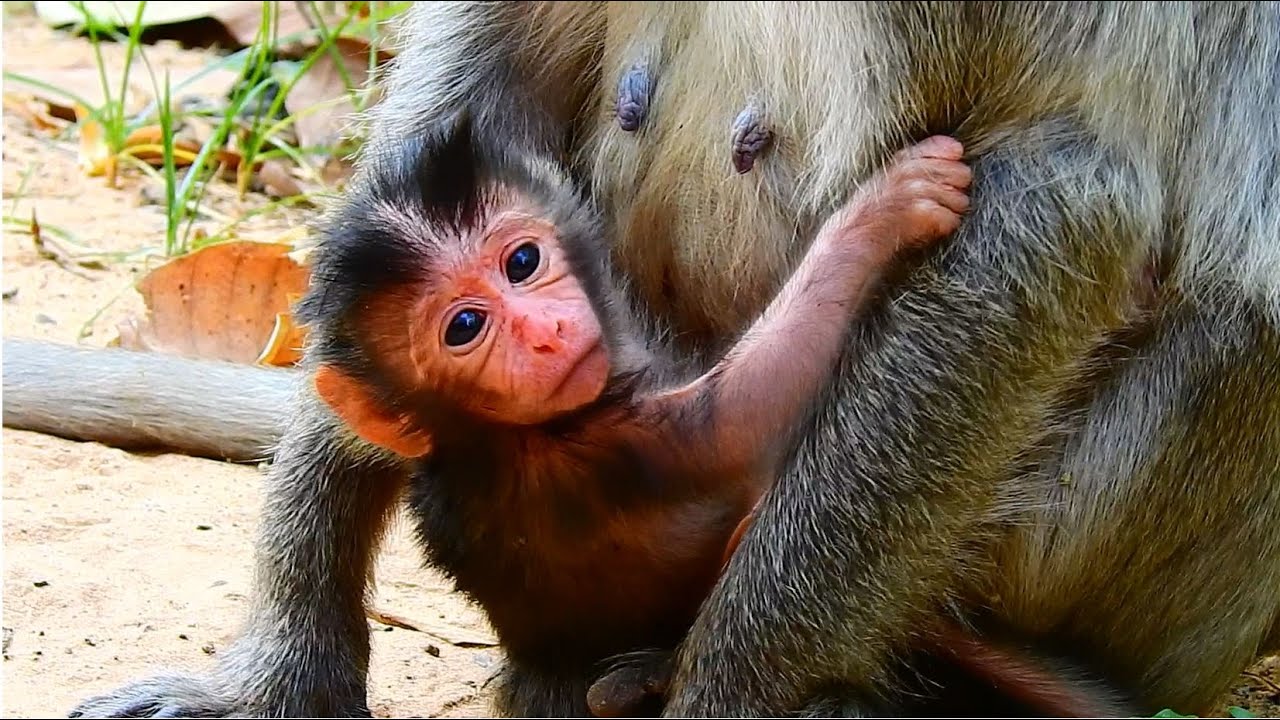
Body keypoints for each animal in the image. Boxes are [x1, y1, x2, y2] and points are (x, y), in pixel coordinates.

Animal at [67, 2, 1280, 718]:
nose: (537, 339)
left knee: (1244, 314)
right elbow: (472, 113)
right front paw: (282, 677)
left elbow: (1071, 196)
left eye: (521, 272)